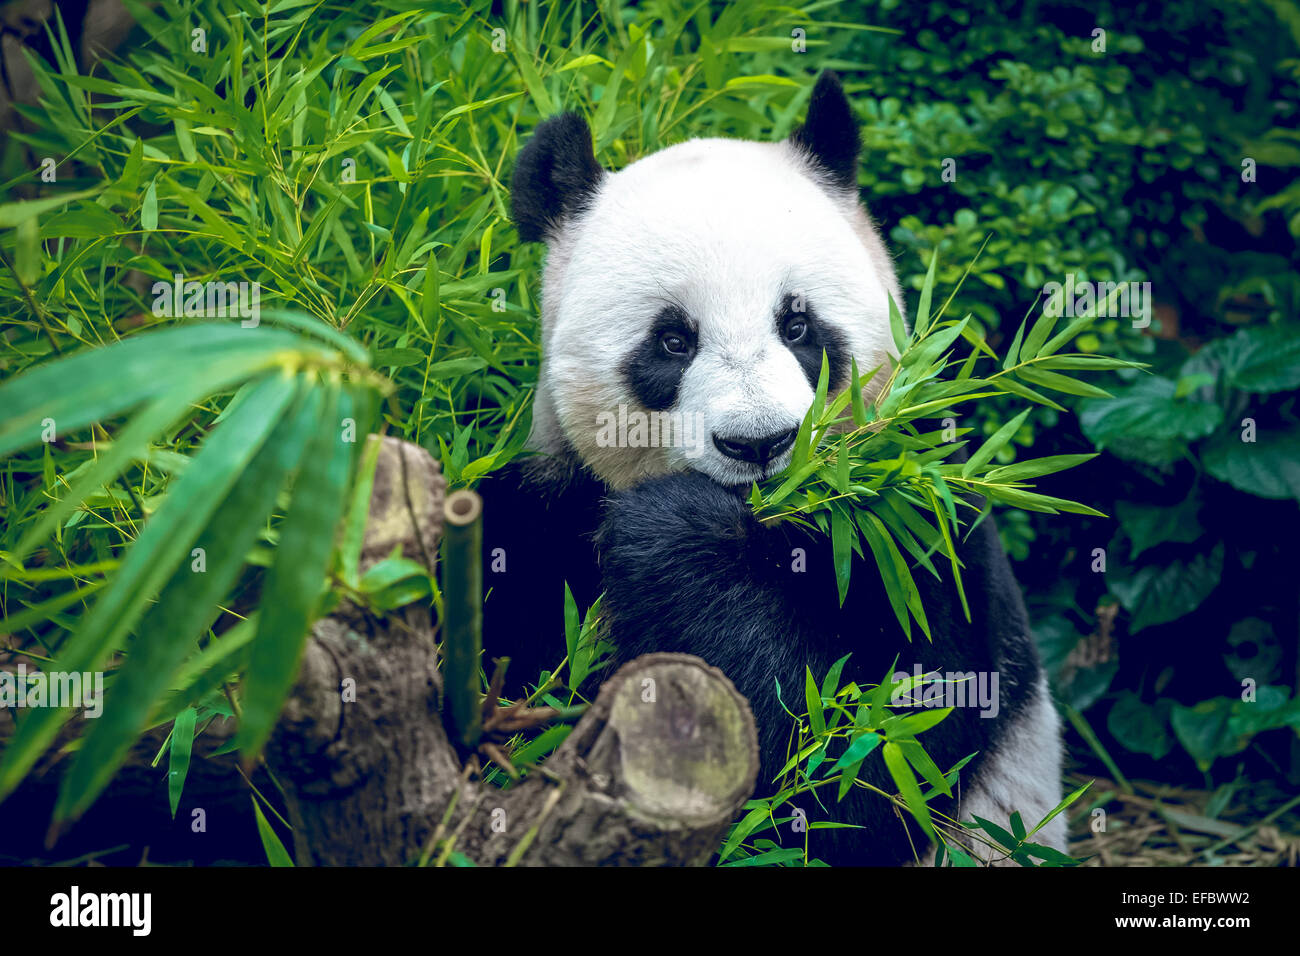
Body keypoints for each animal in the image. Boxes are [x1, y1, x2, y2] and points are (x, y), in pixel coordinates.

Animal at [478, 71, 1066, 866]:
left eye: (798, 325)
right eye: (672, 340)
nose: (759, 443)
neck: (772, 526)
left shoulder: (919, 538)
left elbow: (866, 764)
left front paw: (671, 535)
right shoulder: (541, 517)